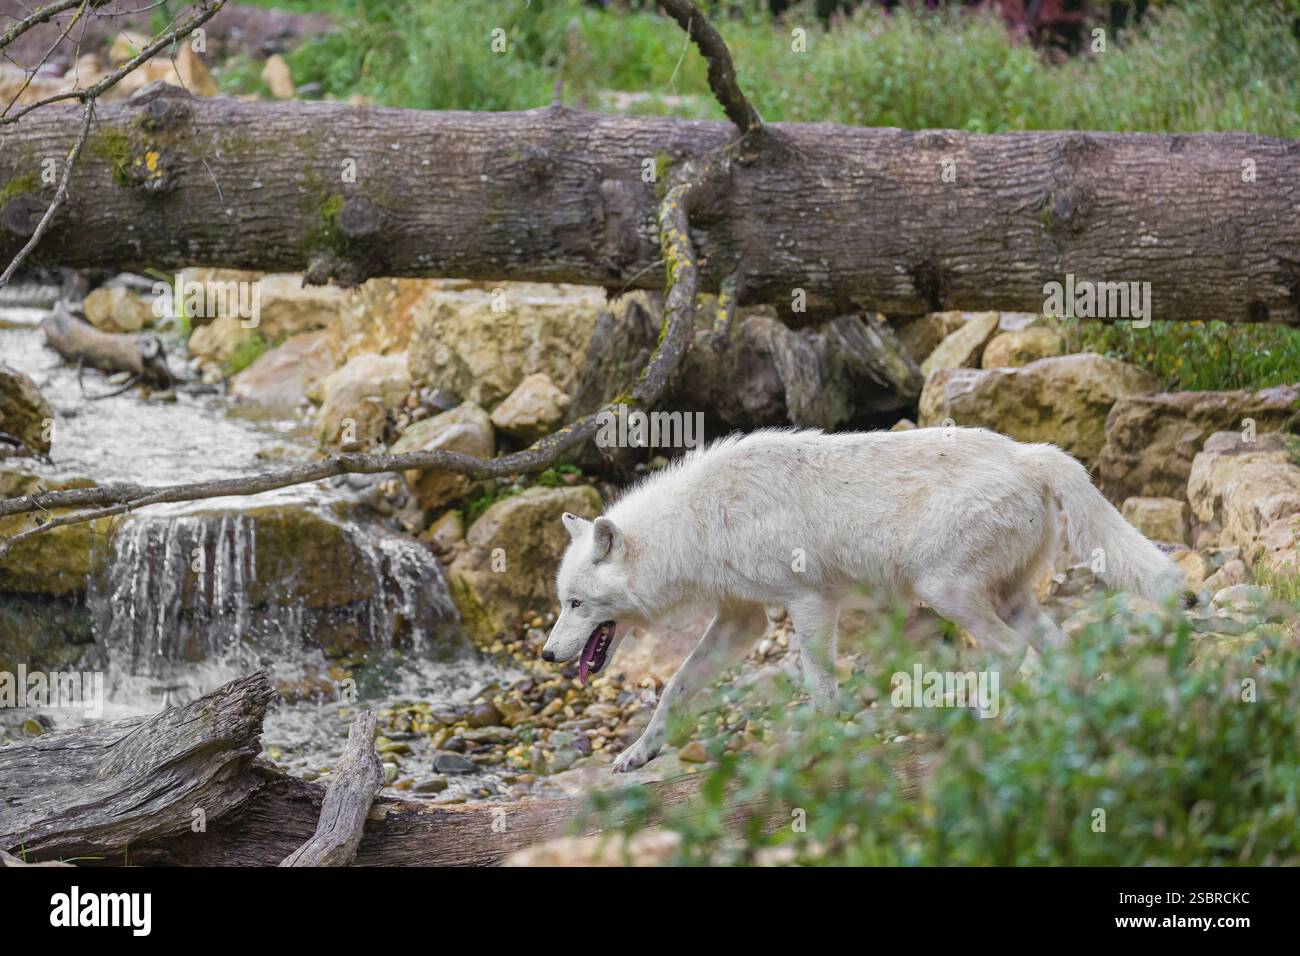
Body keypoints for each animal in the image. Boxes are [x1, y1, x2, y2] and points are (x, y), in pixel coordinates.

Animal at [541, 427, 1186, 772]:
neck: (696, 523)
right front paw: (639, 753)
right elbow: (676, 688)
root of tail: (1033, 453)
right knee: (1060, 648)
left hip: (944, 592)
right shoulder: (741, 621)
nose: (547, 655)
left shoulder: (807, 601)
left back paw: (980, 719)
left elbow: (821, 686)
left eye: (575, 604)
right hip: (1010, 600)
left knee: (1008, 653)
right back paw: (1069, 717)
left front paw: (820, 746)